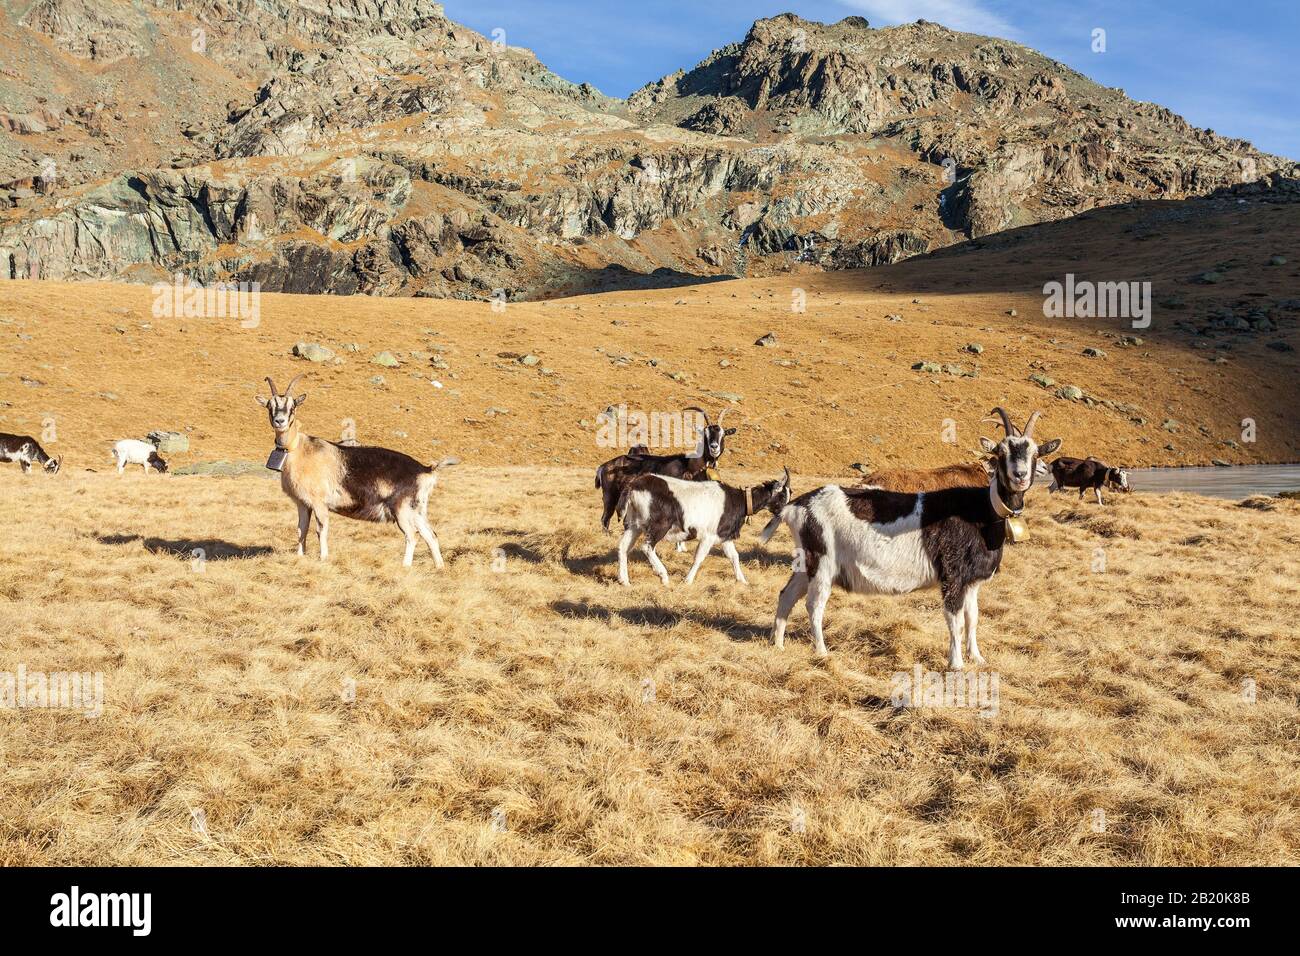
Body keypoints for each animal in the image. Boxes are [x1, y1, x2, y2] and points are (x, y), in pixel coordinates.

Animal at [257, 375, 458, 566]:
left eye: (292, 407)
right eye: (270, 406)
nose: (280, 421)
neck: (299, 450)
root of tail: (426, 470)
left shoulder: (319, 503)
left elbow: (321, 530)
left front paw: (323, 558)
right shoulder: (302, 503)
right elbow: (301, 529)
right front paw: (300, 557)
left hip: (401, 508)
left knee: (412, 535)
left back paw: (405, 566)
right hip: (417, 509)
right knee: (431, 535)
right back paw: (439, 568)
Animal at [594, 406, 736, 531]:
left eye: (723, 434)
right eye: (705, 433)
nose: (714, 447)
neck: (690, 465)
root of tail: (603, 466)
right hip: (610, 496)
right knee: (605, 519)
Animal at [616, 467, 791, 586]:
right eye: (783, 496)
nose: (785, 514)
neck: (737, 501)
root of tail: (633, 486)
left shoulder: (724, 536)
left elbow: (734, 556)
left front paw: (742, 580)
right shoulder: (709, 536)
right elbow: (699, 557)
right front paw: (687, 580)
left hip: (634, 525)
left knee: (623, 547)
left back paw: (624, 581)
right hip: (659, 525)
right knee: (647, 547)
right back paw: (663, 576)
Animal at [761, 408, 1061, 665]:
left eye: (1035, 452)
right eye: (1001, 451)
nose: (1020, 475)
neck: (982, 509)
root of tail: (795, 507)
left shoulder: (972, 581)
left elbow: (973, 618)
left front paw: (977, 658)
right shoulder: (952, 575)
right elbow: (955, 620)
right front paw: (956, 664)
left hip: (805, 563)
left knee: (786, 595)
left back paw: (778, 644)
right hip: (822, 560)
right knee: (814, 604)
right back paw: (821, 651)